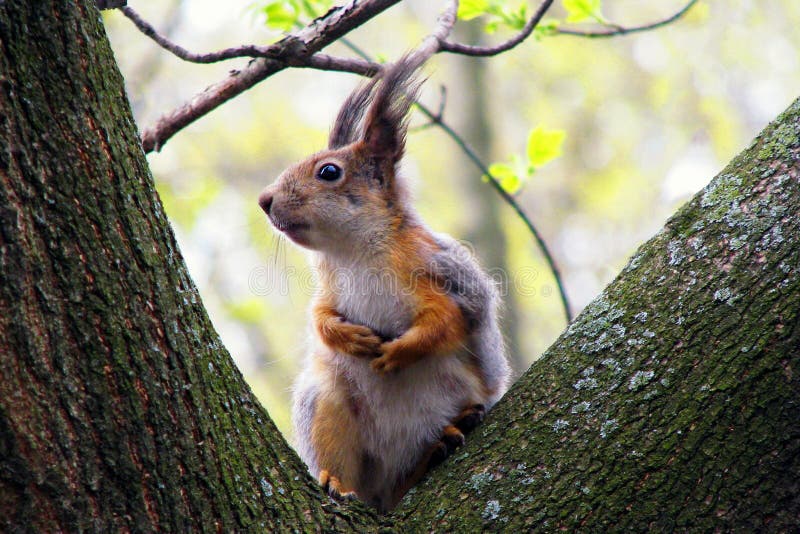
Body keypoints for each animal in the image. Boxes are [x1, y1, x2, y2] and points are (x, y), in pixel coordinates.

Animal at [258, 54, 509, 512]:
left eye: (329, 172)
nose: (264, 201)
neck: (352, 251)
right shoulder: (329, 290)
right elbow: (320, 317)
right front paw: (349, 337)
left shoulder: (441, 274)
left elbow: (446, 321)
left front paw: (399, 351)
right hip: (330, 409)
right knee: (344, 463)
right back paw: (337, 482)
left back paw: (435, 451)